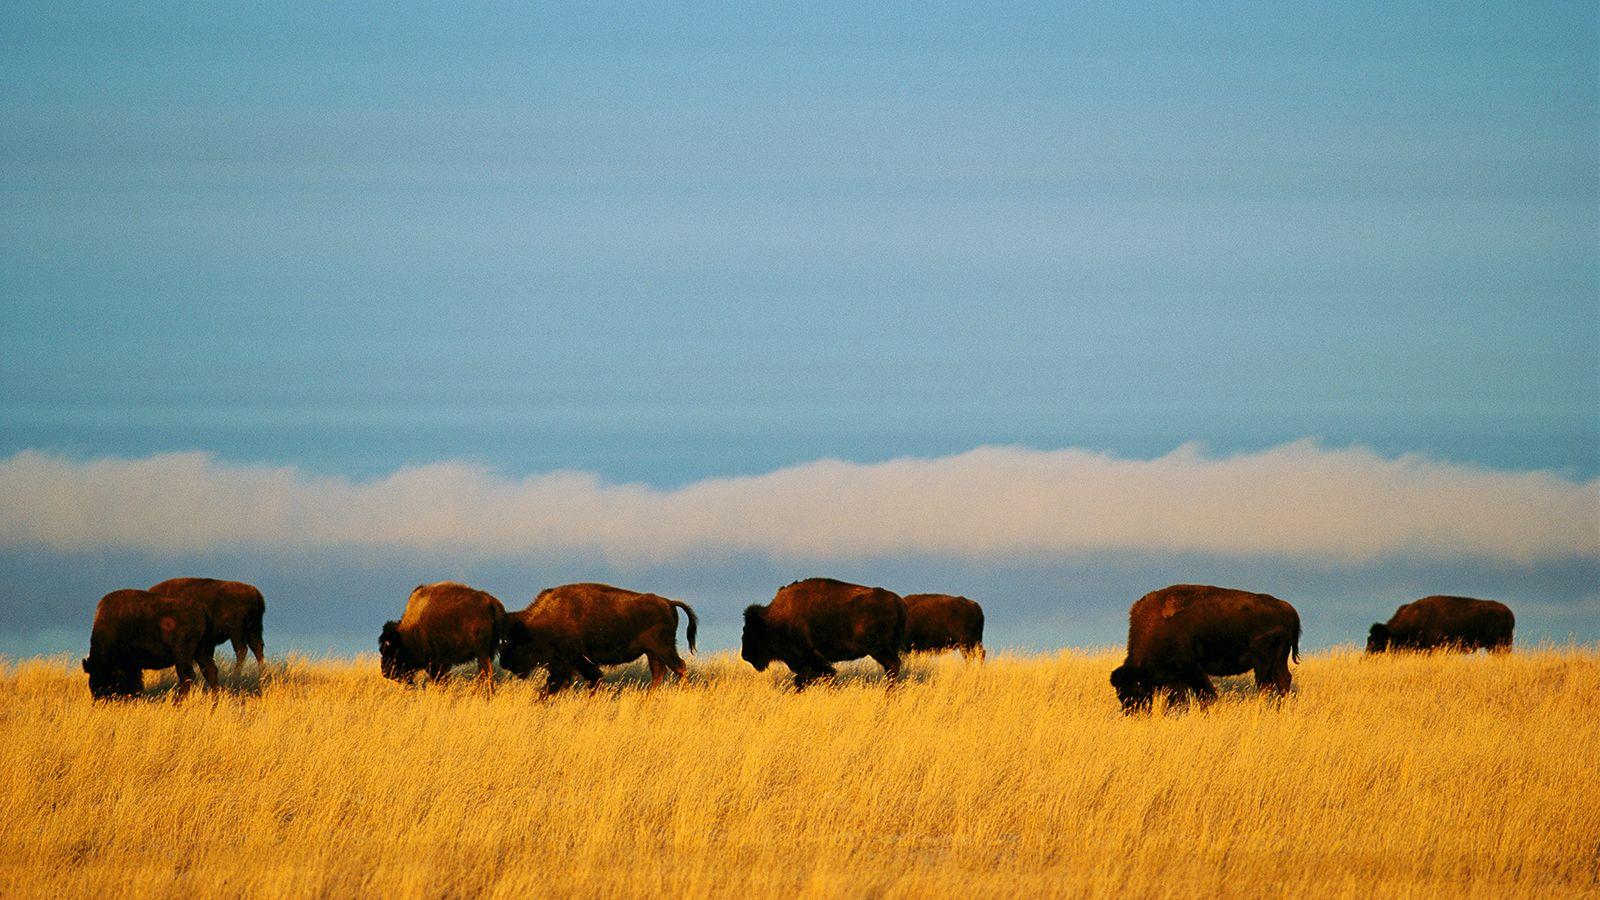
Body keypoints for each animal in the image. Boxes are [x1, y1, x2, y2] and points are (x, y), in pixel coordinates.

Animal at [82, 589, 220, 700]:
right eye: (91, 682)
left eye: (106, 679)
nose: (100, 699)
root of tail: (202, 608)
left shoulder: (130, 666)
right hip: (202, 652)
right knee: (210, 671)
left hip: (183, 656)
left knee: (187, 676)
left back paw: (176, 704)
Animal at [499, 582, 699, 693]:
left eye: (509, 640)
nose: (504, 664)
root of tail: (668, 602)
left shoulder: (575, 661)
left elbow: (590, 680)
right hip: (653, 652)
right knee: (660, 672)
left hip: (663, 648)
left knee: (679, 667)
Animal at [742, 578, 907, 689]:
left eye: (750, 631)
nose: (745, 655)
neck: (774, 619)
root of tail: (899, 603)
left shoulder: (811, 659)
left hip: (878, 650)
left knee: (892, 665)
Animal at [1110, 584, 1301, 713]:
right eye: (1120, 695)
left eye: (1136, 691)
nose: (1132, 714)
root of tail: (1289, 610)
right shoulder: (1177, 679)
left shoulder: (1192, 670)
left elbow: (1205, 695)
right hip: (1280, 659)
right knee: (1283, 680)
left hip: (1263, 662)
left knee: (1265, 685)